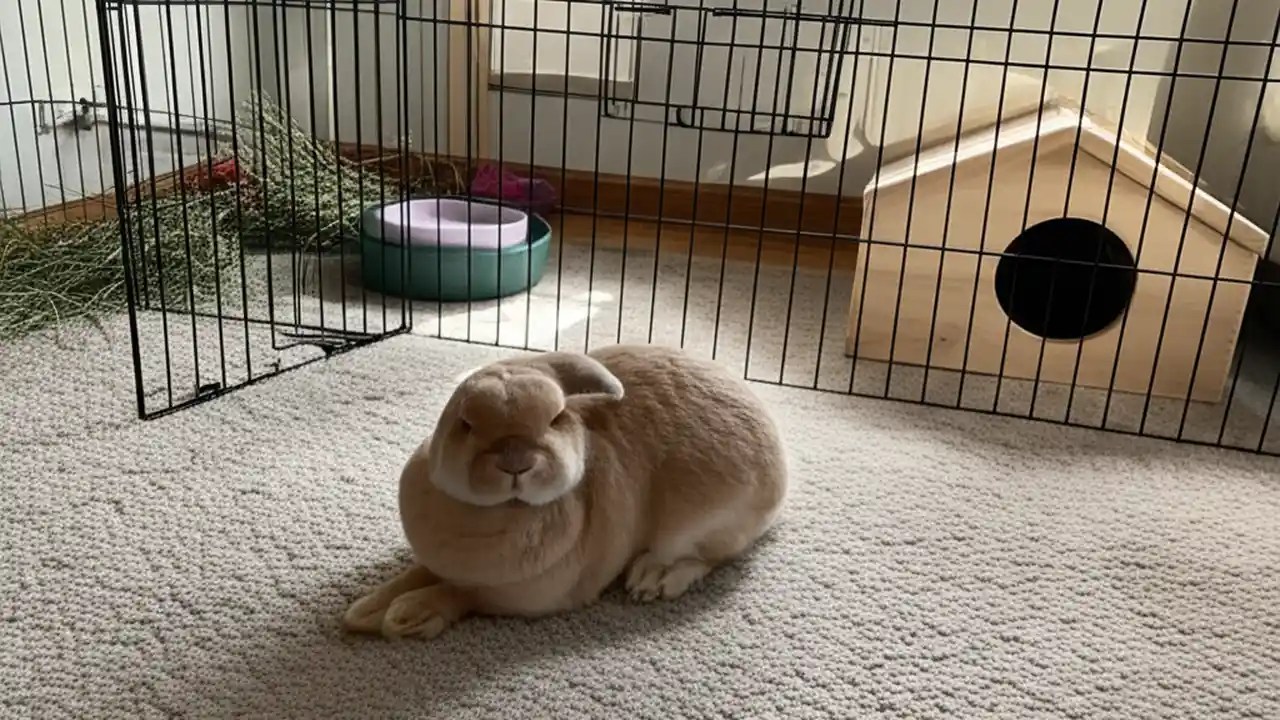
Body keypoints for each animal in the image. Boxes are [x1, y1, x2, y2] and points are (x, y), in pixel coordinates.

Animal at [343, 344, 787, 639]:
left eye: (556, 419)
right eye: (465, 424)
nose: (517, 462)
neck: (502, 508)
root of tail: (781, 472)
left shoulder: (505, 596)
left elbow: (458, 594)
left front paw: (407, 615)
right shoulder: (440, 564)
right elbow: (413, 574)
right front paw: (364, 609)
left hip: (701, 522)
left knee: (710, 556)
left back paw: (652, 578)